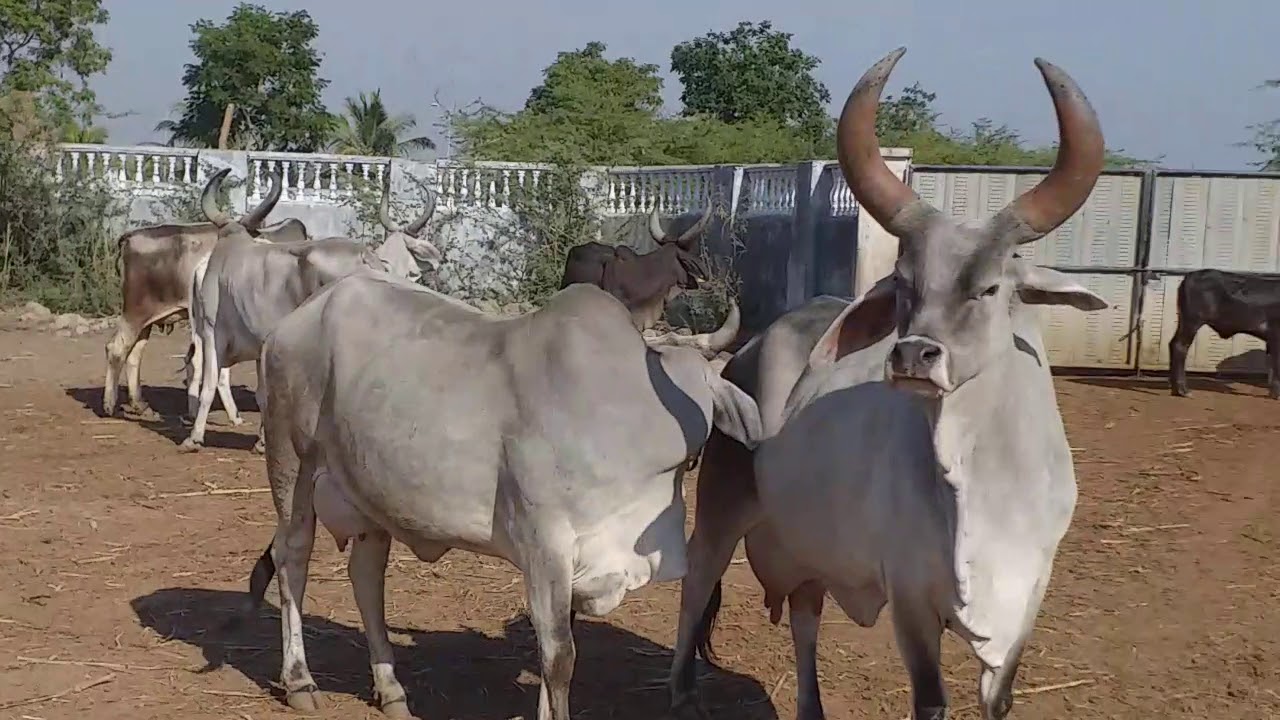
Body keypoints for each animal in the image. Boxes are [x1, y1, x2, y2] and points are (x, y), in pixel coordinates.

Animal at [101, 168, 306, 420]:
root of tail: (129, 237)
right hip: (134, 311)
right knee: (116, 348)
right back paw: (110, 405)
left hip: (148, 319)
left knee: (134, 354)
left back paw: (140, 404)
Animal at [179, 167, 418, 454]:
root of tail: (366, 258)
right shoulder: (261, 346)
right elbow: (262, 395)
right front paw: (262, 442)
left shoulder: (213, 332)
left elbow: (209, 384)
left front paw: (194, 438)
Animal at [226, 273, 760, 720]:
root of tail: (296, 320)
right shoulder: (545, 546)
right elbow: (559, 655)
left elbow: (554, 651)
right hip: (290, 466)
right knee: (293, 560)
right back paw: (300, 681)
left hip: (371, 492)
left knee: (366, 577)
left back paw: (391, 689)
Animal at [665, 47, 1111, 720]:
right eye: (904, 284)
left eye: (990, 288)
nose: (912, 356)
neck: (979, 480)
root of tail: (751, 348)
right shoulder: (911, 596)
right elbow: (930, 700)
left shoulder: (1026, 600)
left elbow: (998, 698)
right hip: (721, 507)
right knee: (696, 588)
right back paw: (680, 691)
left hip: (808, 547)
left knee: (804, 617)